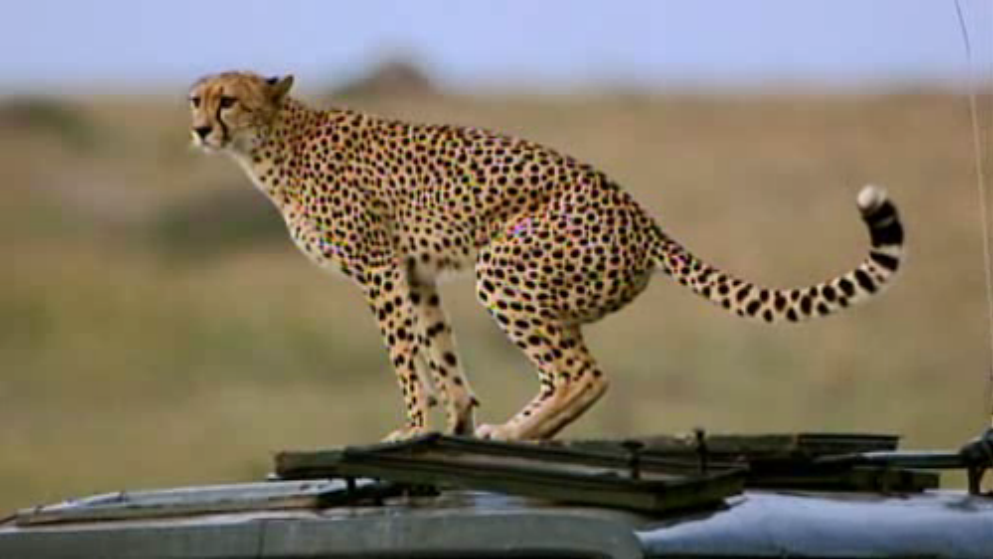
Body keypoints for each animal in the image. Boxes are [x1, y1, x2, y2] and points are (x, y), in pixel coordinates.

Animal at [187, 71, 905, 442]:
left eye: (229, 99)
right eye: (196, 98)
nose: (197, 128)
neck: (273, 142)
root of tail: (641, 214)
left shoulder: (379, 267)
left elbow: (404, 358)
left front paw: (412, 427)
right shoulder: (415, 271)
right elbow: (439, 351)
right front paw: (454, 417)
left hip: (505, 264)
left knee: (583, 373)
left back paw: (516, 433)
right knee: (562, 370)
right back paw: (511, 427)